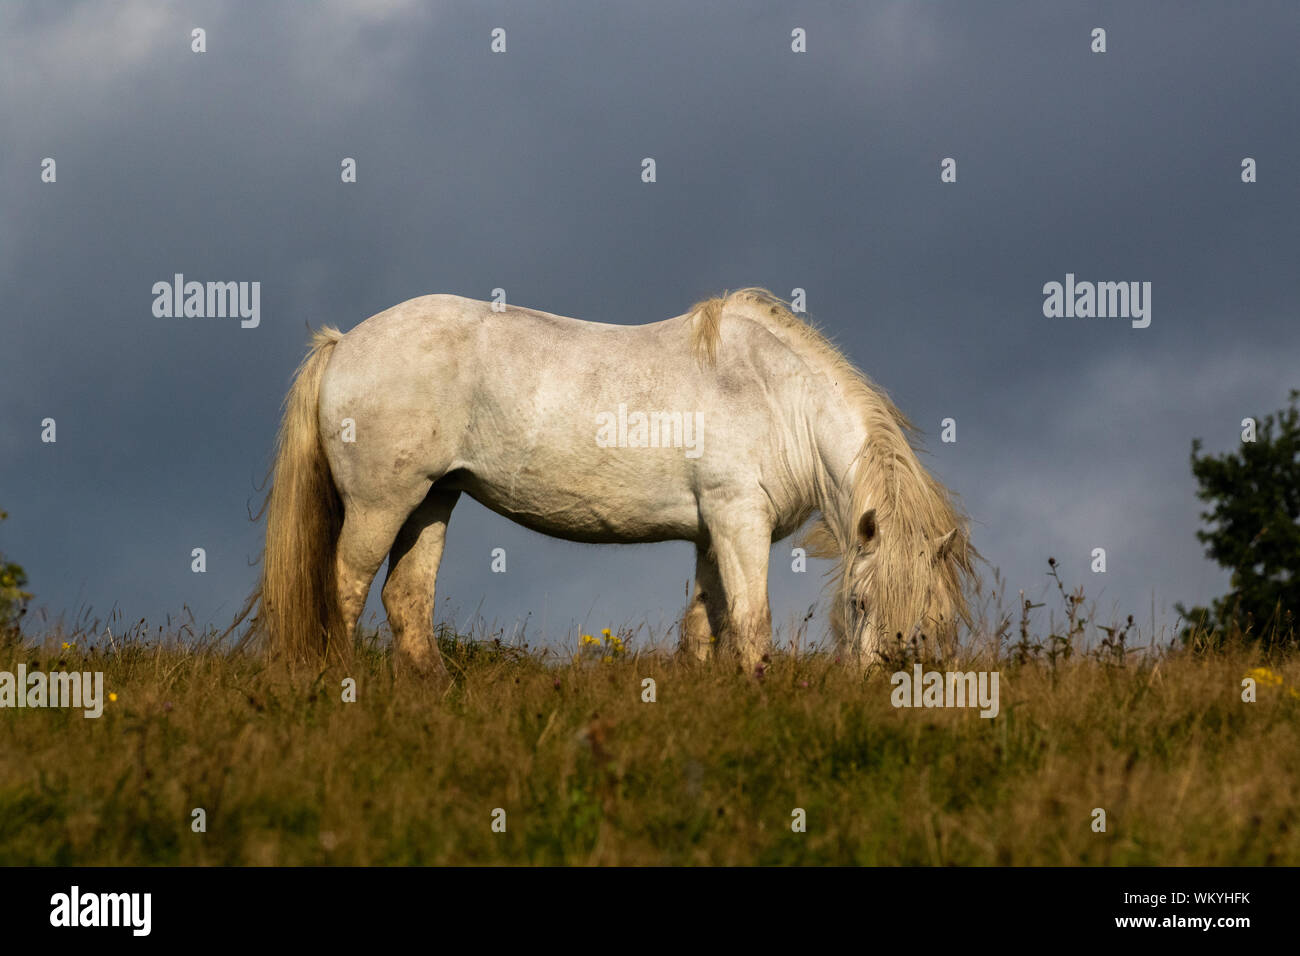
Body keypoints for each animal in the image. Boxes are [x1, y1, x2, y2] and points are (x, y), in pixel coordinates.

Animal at [236, 288, 975, 676]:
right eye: (859, 602)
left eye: (932, 617)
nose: (889, 684)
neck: (774, 393)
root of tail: (343, 344)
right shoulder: (739, 521)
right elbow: (750, 622)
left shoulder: (712, 531)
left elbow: (703, 625)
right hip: (380, 503)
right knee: (344, 586)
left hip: (432, 501)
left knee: (406, 600)